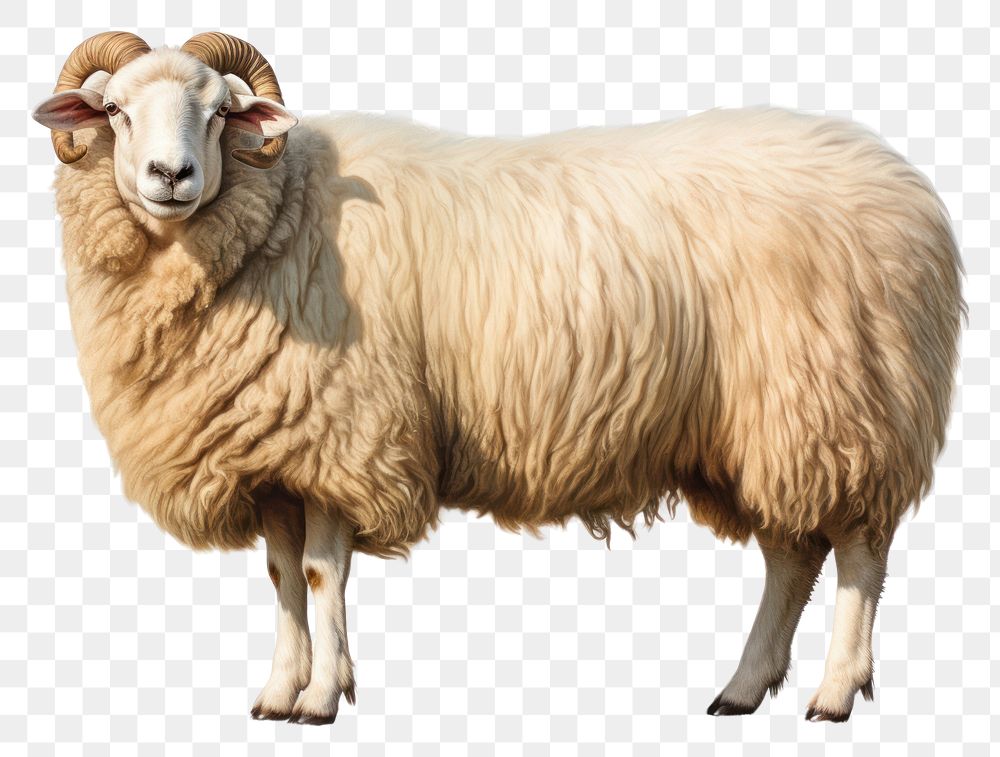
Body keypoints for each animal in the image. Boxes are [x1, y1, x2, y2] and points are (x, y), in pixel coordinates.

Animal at [33, 31, 964, 726]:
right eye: (114, 110)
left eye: (222, 112)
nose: (171, 178)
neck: (279, 211)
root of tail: (909, 188)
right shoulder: (273, 456)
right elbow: (281, 577)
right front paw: (277, 691)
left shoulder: (345, 438)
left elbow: (322, 576)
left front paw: (322, 697)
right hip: (763, 427)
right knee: (792, 555)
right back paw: (743, 688)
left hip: (844, 405)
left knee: (858, 554)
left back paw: (835, 691)